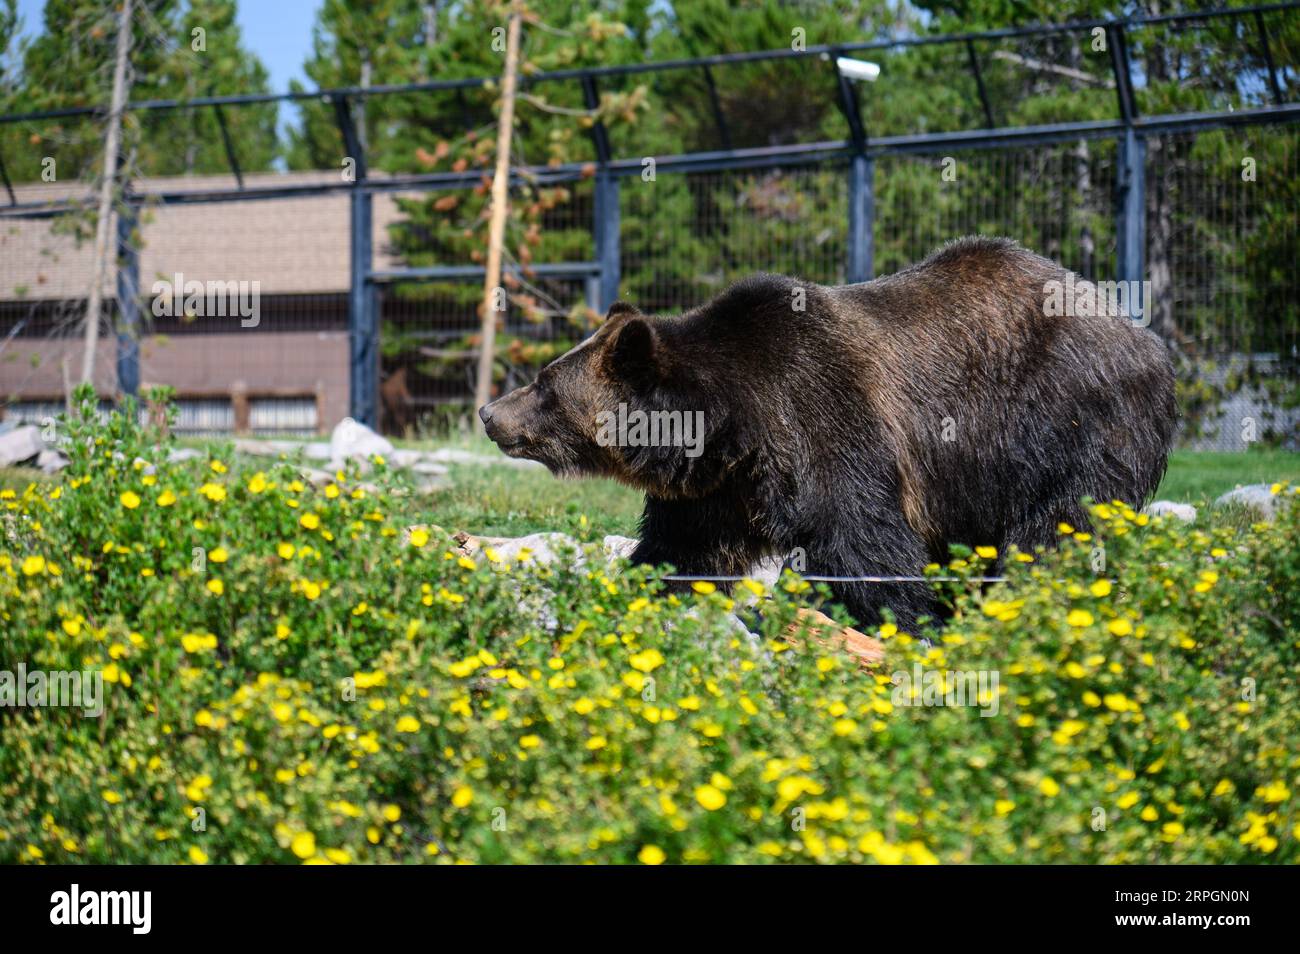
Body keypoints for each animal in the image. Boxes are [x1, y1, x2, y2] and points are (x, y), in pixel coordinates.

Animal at [479, 237, 1177, 631]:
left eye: (543, 381)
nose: (490, 413)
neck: (728, 426)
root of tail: (1142, 335)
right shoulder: (721, 491)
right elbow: (680, 553)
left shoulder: (828, 418)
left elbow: (863, 544)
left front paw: (908, 625)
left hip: (1068, 423)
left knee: (1055, 527)